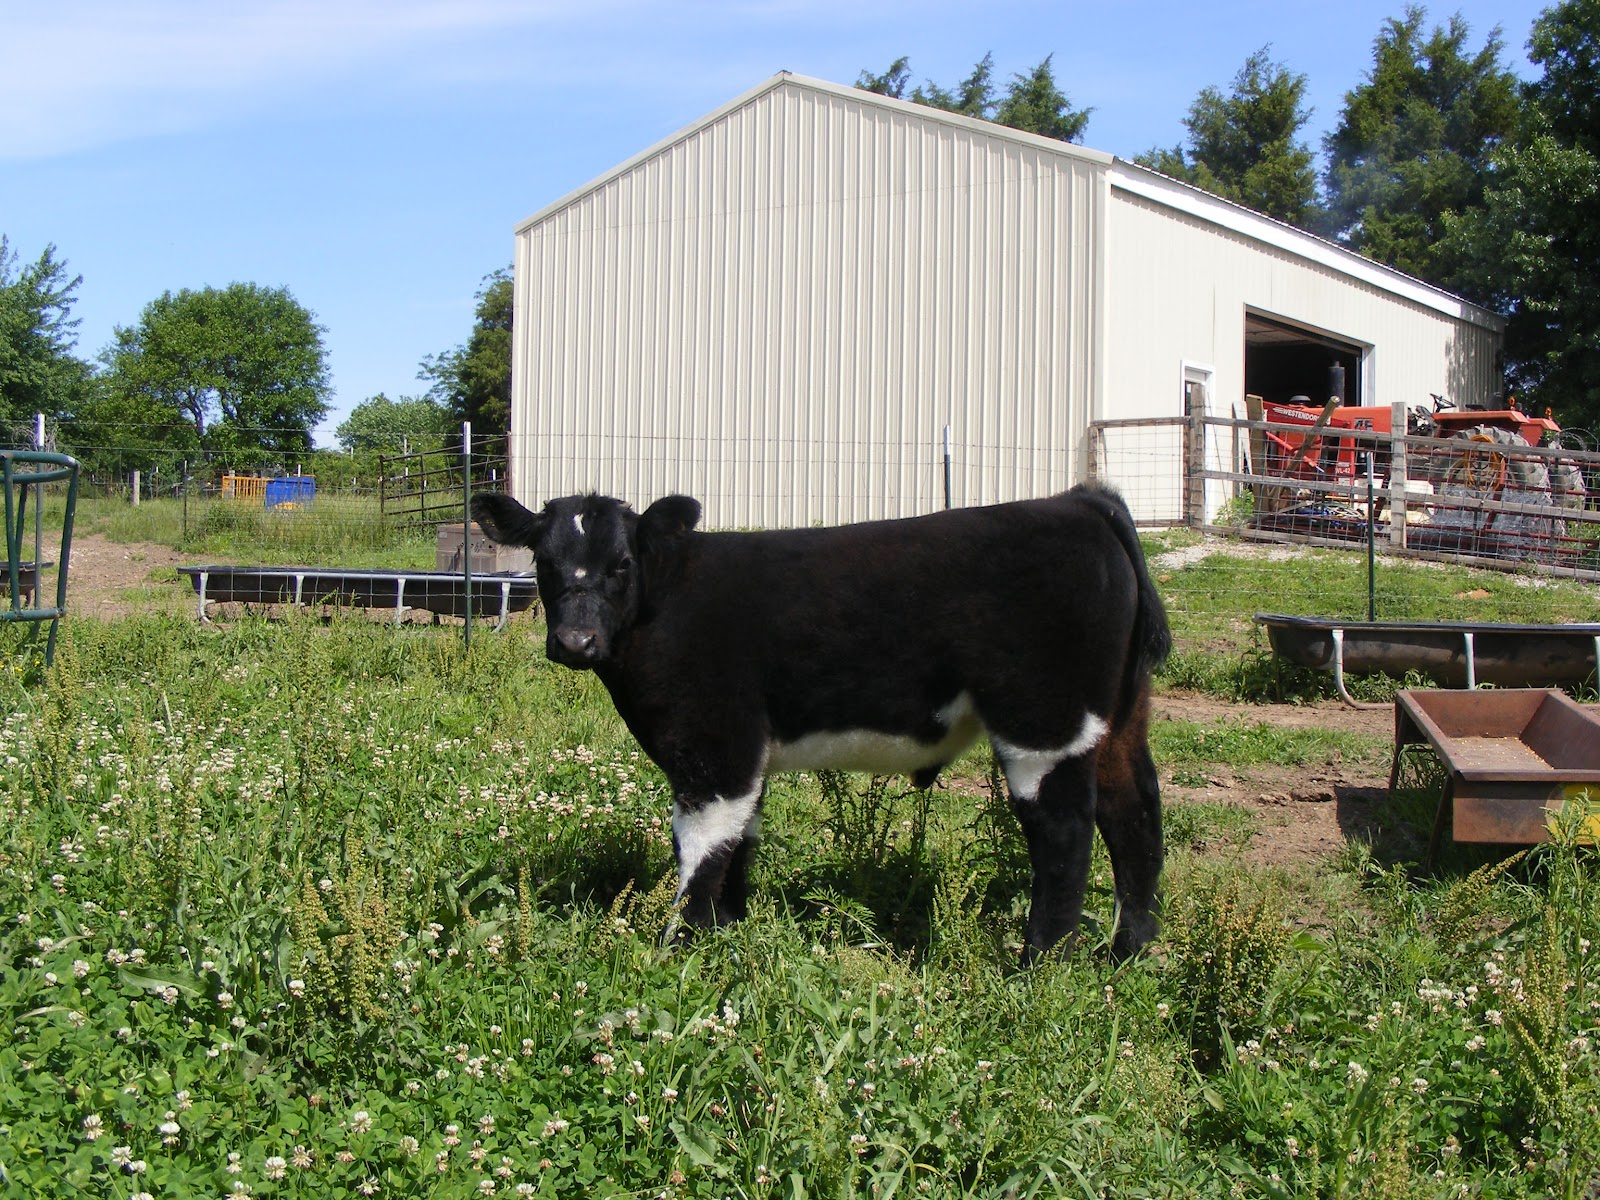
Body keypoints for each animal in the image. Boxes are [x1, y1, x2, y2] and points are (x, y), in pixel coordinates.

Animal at [471, 484, 1170, 962]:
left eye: (621, 563)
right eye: (543, 560)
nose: (575, 642)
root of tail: (1077, 501)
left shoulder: (713, 745)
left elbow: (702, 849)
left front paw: (680, 947)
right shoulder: (745, 753)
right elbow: (739, 843)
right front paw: (728, 934)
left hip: (1043, 721)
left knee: (1066, 831)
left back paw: (1037, 965)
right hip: (1119, 716)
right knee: (1134, 812)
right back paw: (1125, 953)